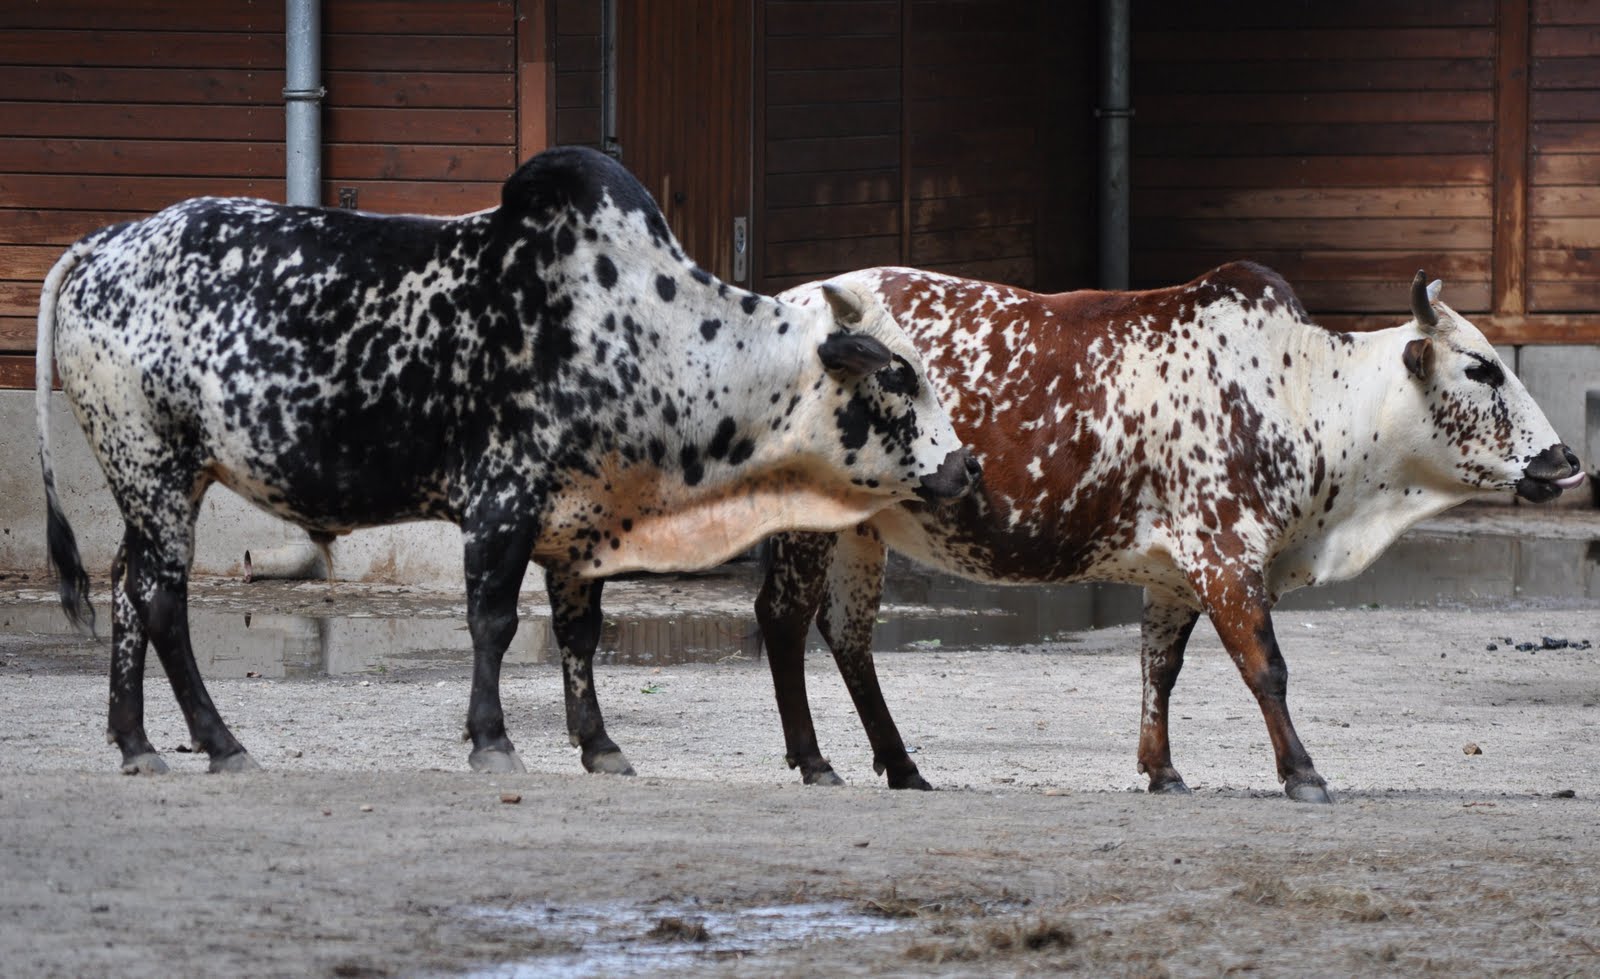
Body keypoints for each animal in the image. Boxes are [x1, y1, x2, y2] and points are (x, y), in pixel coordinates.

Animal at [35, 146, 978, 777]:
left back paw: (136, 741)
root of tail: (106, 244)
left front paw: (599, 743)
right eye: (898, 384)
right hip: (154, 466)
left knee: (124, 586)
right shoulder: (500, 505)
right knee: (162, 601)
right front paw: (492, 739)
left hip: (156, 481)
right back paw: (220, 742)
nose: (964, 468)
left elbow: (579, 636)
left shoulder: (583, 524)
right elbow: (491, 621)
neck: (645, 329)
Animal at [756, 262, 1583, 803]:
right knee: (785, 618)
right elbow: (1266, 667)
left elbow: (1159, 668)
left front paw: (1161, 768)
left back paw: (900, 764)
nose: (1565, 459)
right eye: (1481, 369)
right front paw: (1303, 772)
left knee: (849, 637)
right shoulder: (1226, 554)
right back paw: (814, 757)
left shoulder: (1176, 575)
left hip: (860, 532)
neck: (1301, 390)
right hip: (807, 522)